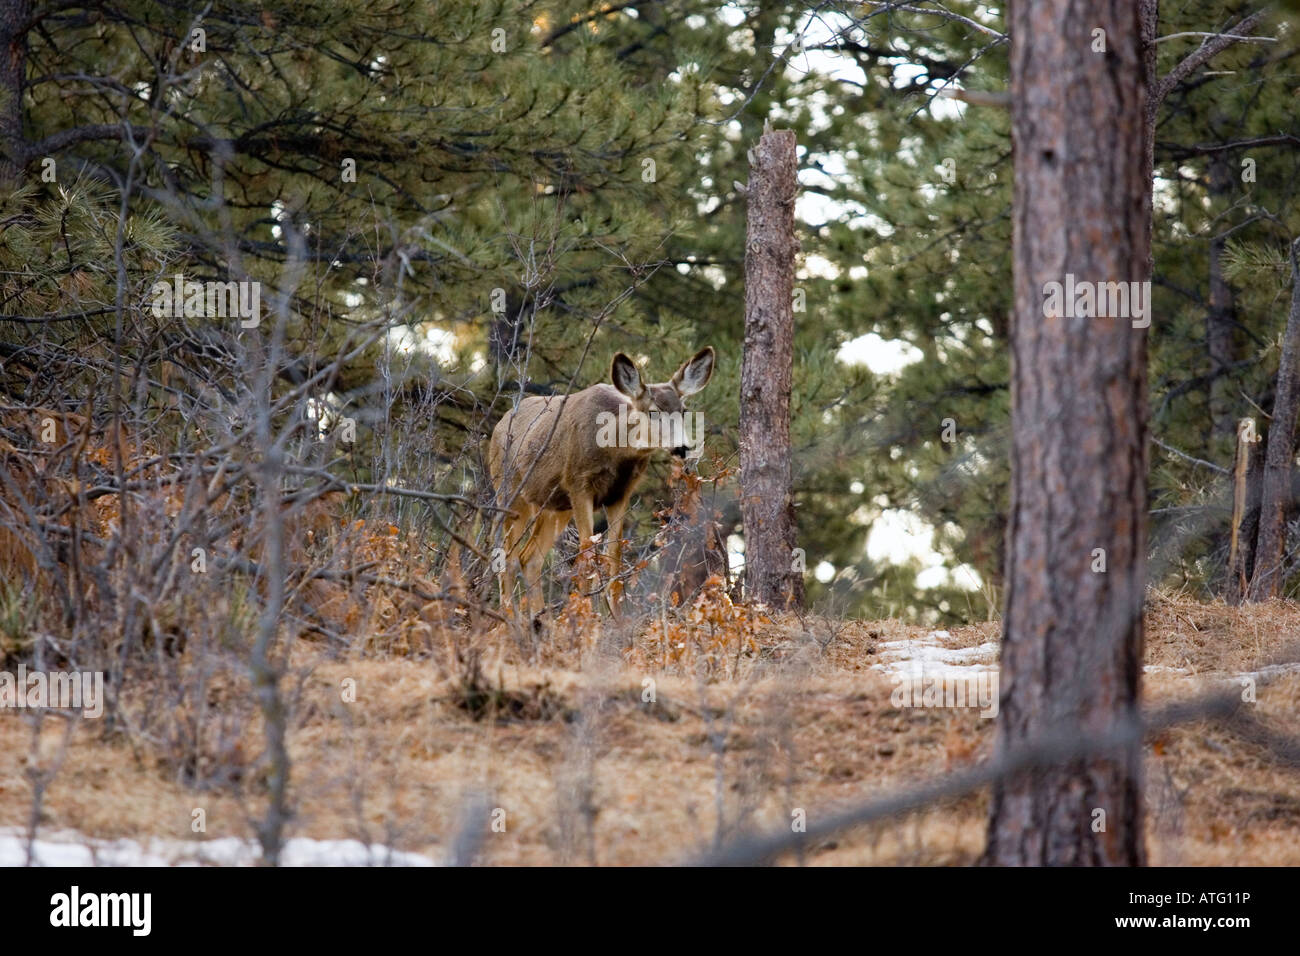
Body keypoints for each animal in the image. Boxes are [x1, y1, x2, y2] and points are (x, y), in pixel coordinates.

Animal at [488, 346, 716, 621]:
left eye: (683, 410)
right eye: (653, 411)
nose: (682, 447)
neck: (614, 449)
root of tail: (498, 425)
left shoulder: (620, 493)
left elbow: (613, 559)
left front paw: (616, 619)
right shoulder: (578, 485)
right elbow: (587, 553)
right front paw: (586, 618)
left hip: (553, 506)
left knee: (529, 557)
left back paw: (542, 621)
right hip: (509, 491)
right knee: (507, 558)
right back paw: (509, 620)